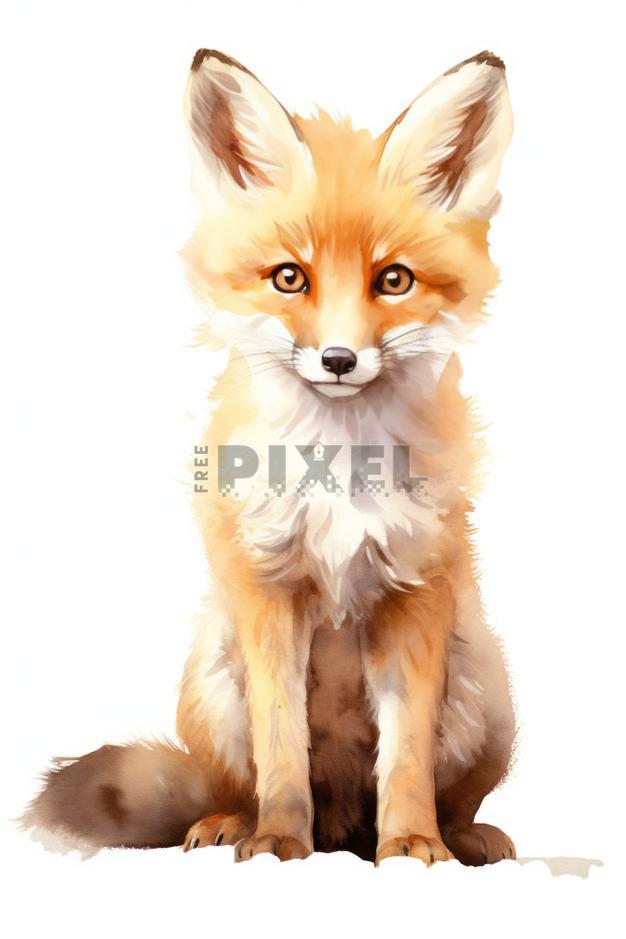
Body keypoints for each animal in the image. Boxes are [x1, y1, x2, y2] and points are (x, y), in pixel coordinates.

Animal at [23, 49, 516, 867]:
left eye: (393, 280)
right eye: (291, 277)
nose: (339, 359)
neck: (338, 471)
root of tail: (345, 826)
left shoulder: (414, 594)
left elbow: (407, 756)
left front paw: (414, 842)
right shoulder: (268, 592)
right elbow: (281, 747)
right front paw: (280, 840)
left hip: (485, 685)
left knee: (447, 791)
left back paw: (458, 833)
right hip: (216, 674)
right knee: (237, 780)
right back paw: (234, 824)